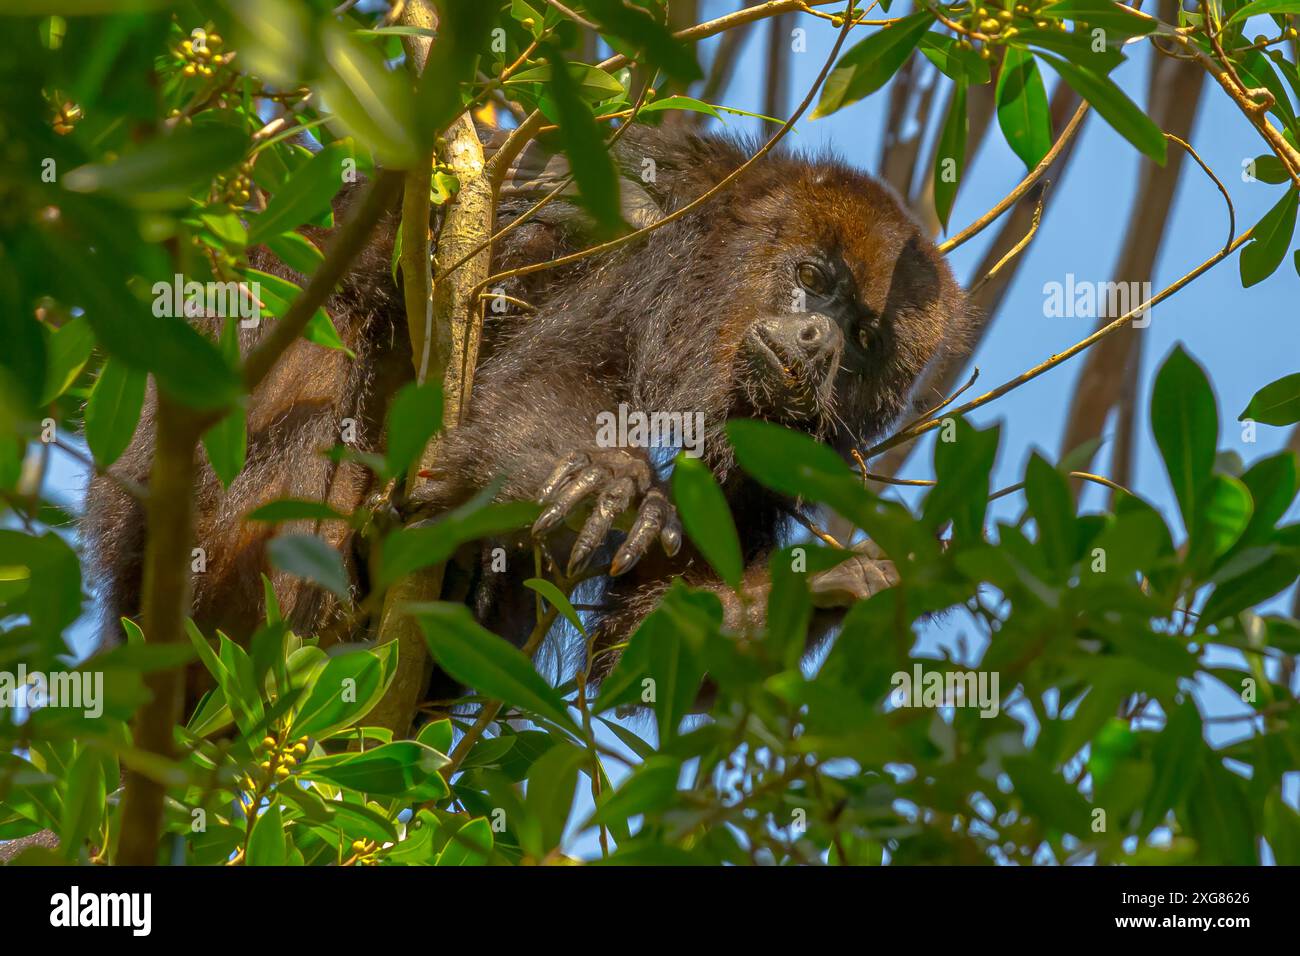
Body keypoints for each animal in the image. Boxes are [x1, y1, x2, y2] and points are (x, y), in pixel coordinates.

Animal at [82, 122, 967, 709]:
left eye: (867, 339)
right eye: (813, 278)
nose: (820, 340)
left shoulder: (780, 456)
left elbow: (642, 640)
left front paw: (850, 585)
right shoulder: (655, 236)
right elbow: (566, 362)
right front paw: (611, 479)